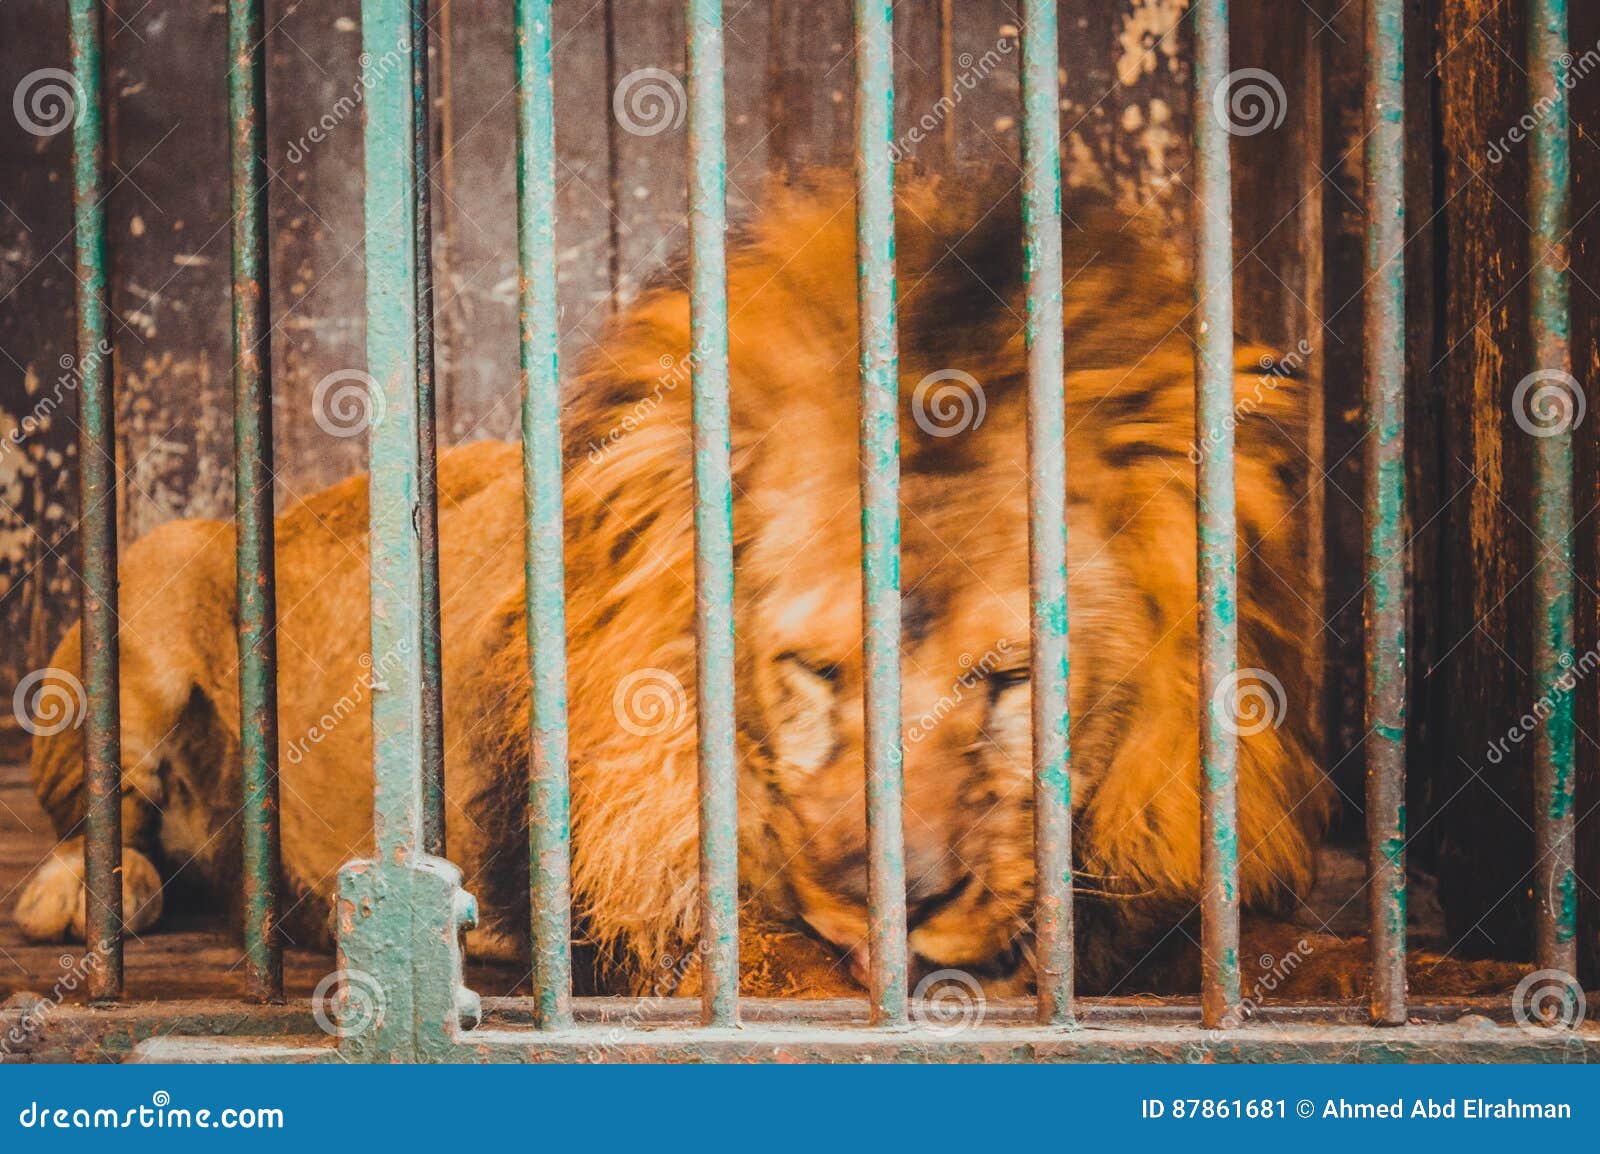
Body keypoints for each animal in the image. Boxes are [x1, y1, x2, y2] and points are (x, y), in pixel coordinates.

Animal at [14, 178, 1330, 997]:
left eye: (1009, 676)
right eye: (813, 669)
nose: (899, 897)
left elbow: (1263, 948)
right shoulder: (655, 922)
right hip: (150, 582)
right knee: (100, 812)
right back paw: (86, 889)